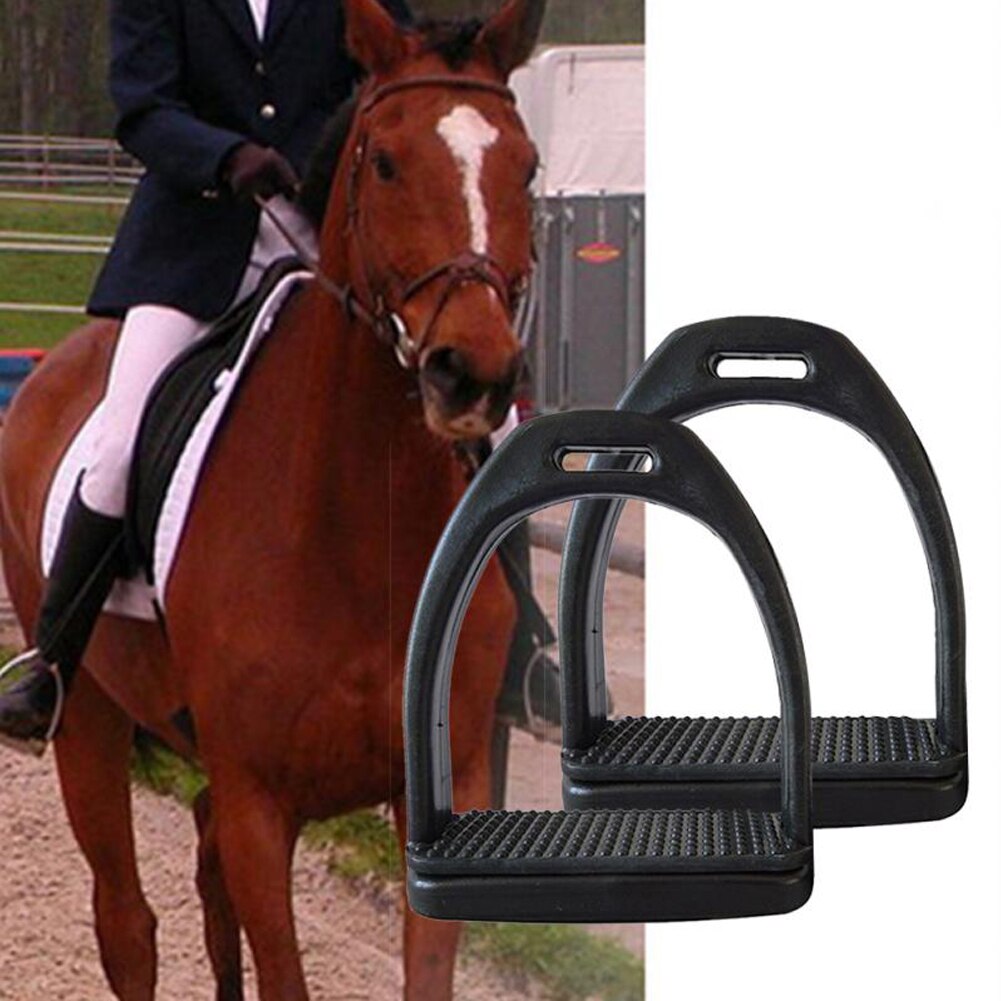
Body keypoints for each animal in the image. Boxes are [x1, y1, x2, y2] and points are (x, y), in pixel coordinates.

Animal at [0, 1, 545, 998]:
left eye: (524, 165)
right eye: (384, 160)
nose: (472, 372)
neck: (363, 527)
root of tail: (56, 364)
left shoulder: (439, 789)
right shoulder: (262, 807)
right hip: (86, 718)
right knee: (127, 924)